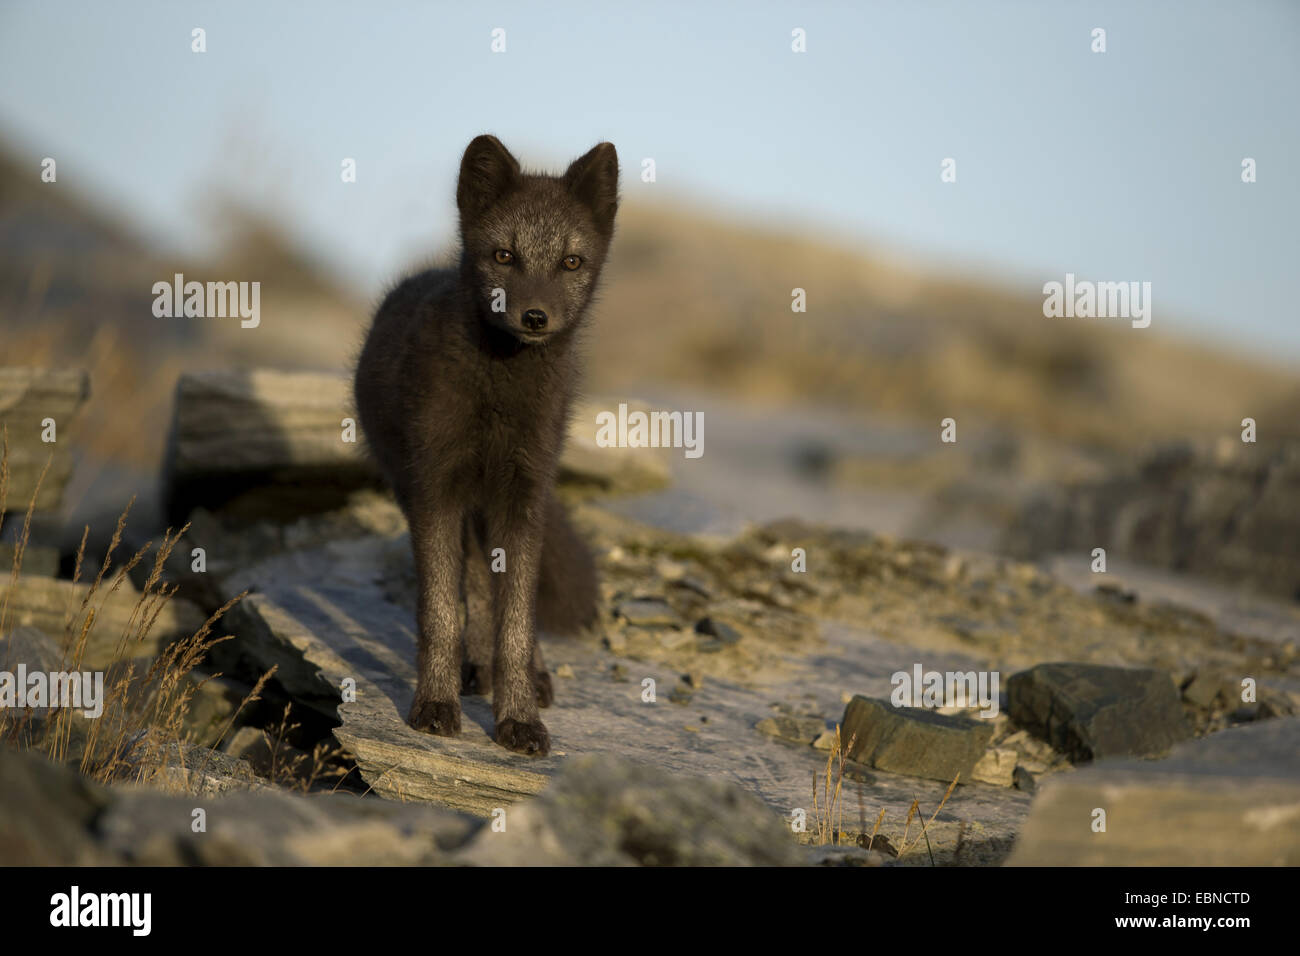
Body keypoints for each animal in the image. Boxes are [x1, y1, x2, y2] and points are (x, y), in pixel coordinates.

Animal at [353, 135, 618, 756]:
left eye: (571, 262)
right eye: (503, 256)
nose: (535, 317)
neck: (500, 388)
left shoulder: (525, 492)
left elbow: (516, 617)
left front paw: (519, 717)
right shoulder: (435, 487)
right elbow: (439, 613)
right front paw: (435, 704)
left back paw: (527, 675)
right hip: (420, 488)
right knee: (470, 583)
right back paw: (472, 669)